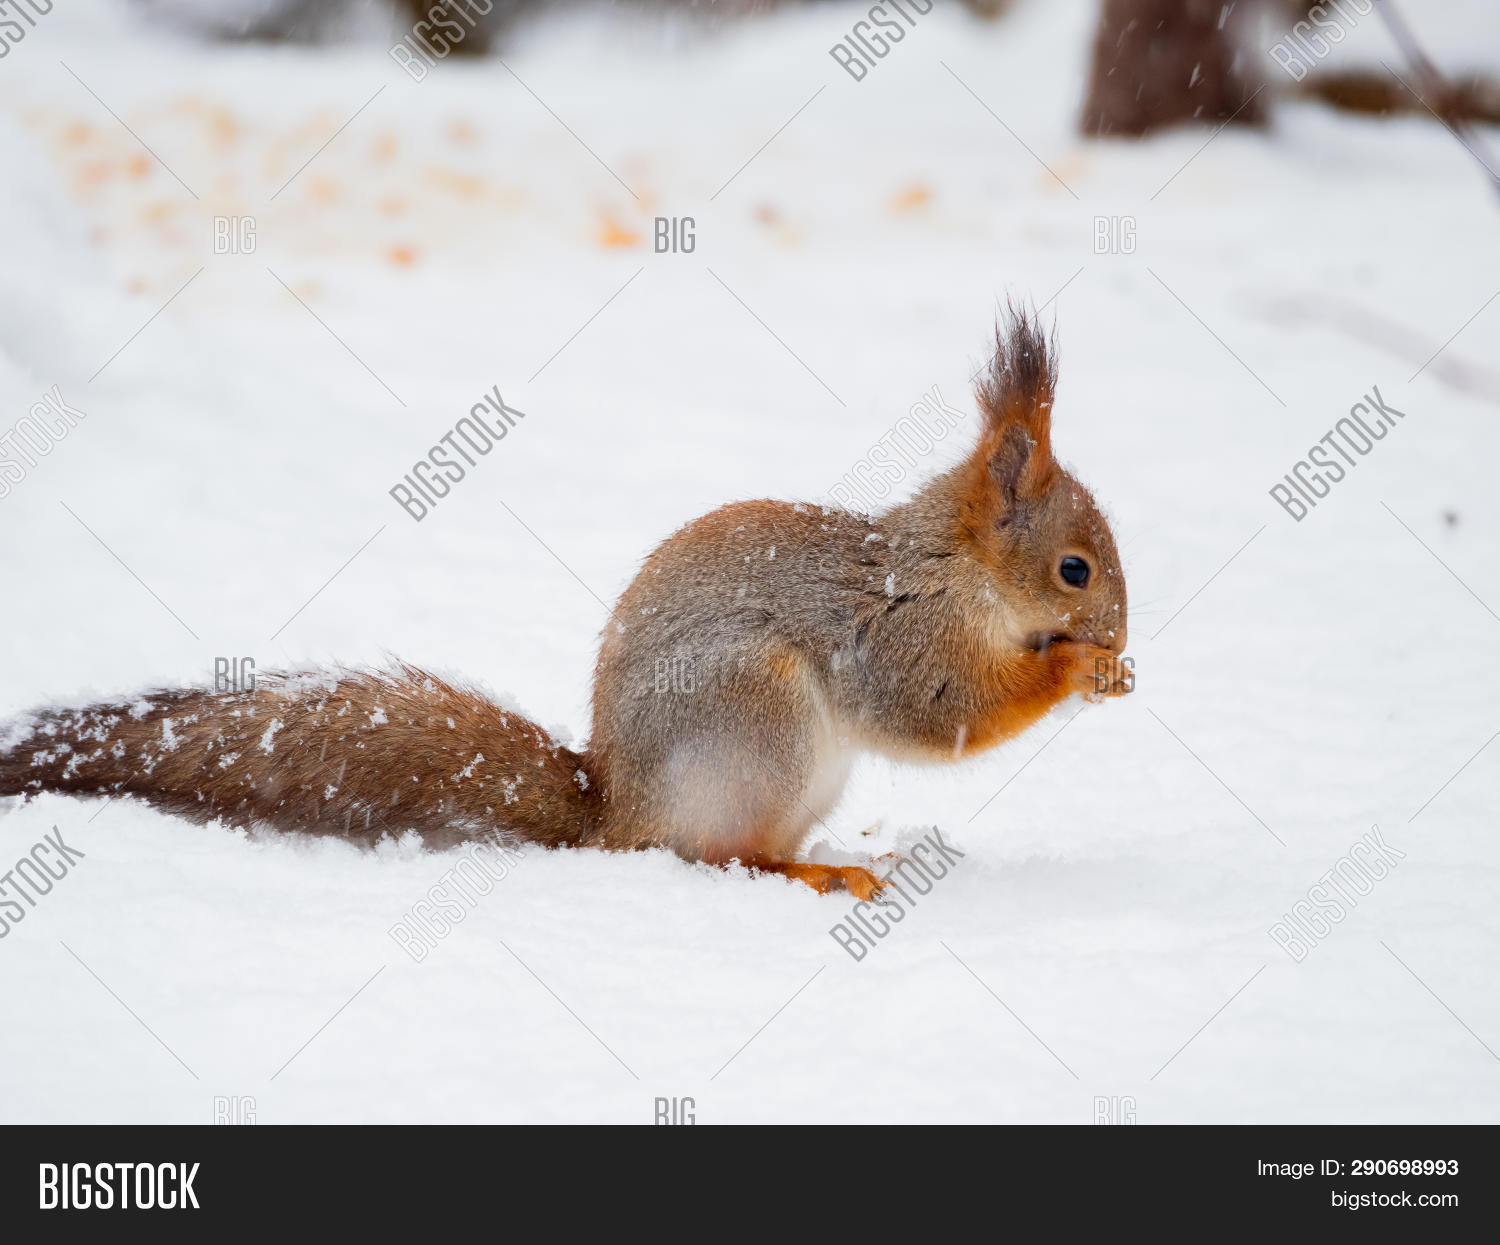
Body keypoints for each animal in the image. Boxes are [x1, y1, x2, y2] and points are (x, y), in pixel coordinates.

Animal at [0, 308, 1129, 899]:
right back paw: (810, 874)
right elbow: (944, 712)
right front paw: (1080, 667)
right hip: (756, 719)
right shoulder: (897, 635)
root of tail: (614, 809)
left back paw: (844, 852)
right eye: (1075, 569)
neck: (955, 568)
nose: (1120, 630)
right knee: (719, 856)